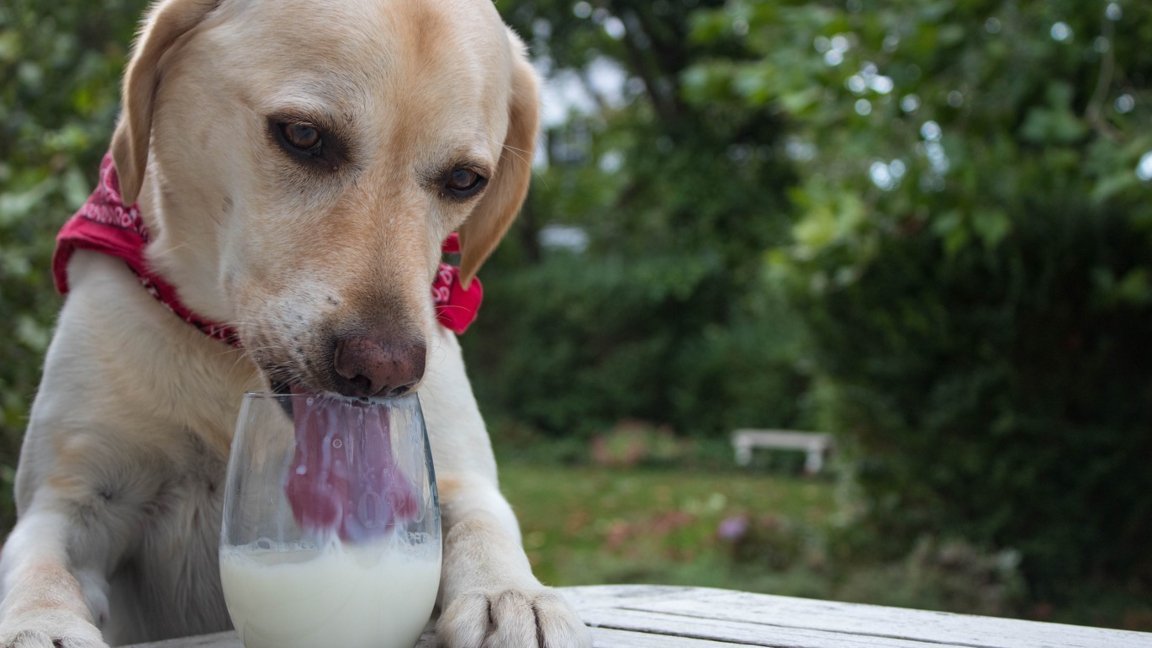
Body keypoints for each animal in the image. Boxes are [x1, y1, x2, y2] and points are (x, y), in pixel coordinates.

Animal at [0, 1, 594, 645]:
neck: (226, 359)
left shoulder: (457, 477)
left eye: (465, 180)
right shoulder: (66, 498)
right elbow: (39, 567)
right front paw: (41, 623)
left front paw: (512, 596)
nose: (384, 374)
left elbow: (483, 527)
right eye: (304, 136)